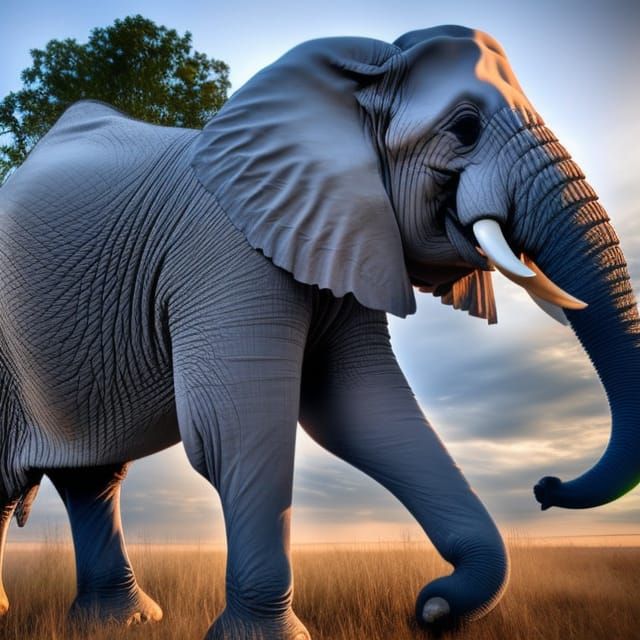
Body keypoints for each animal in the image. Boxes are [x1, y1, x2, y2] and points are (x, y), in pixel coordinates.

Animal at [0, 23, 637, 639]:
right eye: (465, 127)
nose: (544, 487)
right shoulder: (226, 252)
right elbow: (236, 424)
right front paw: (266, 637)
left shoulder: (345, 233)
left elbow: (362, 411)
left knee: (91, 479)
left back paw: (118, 622)